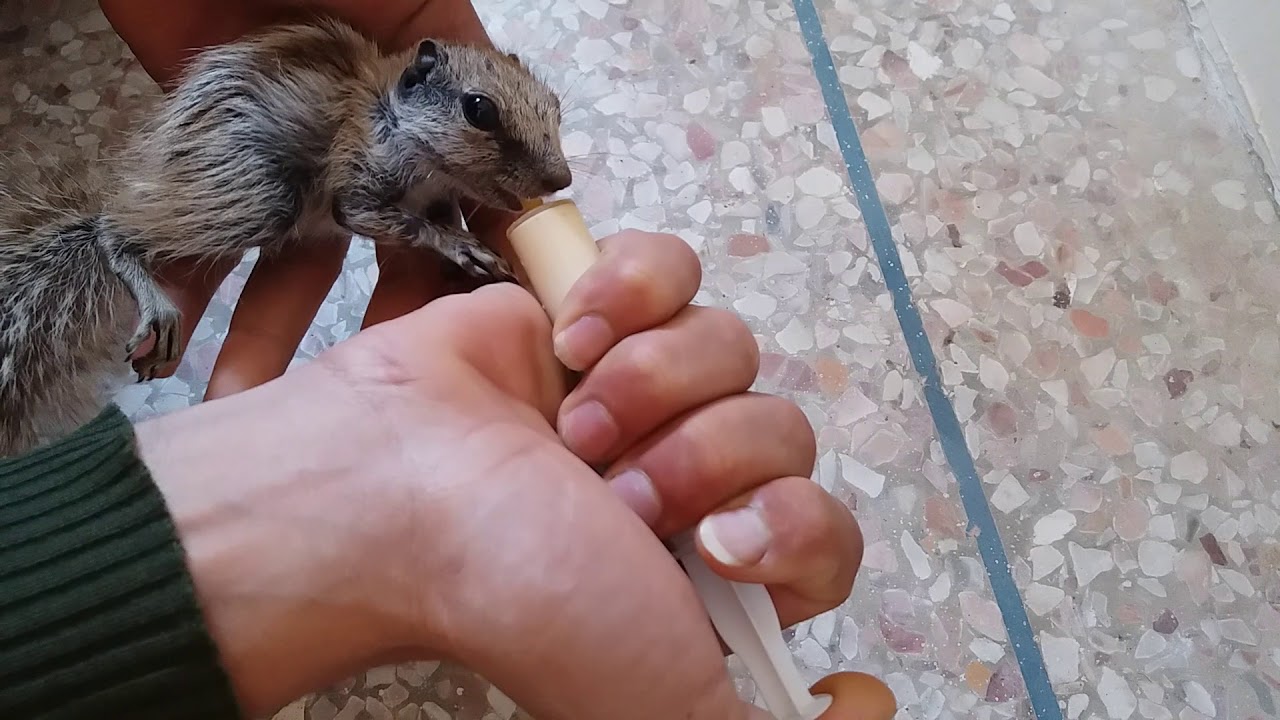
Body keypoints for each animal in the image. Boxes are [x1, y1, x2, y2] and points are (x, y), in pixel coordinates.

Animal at [0, 18, 572, 457]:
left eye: (555, 103)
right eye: (478, 109)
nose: (561, 179)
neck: (388, 116)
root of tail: (151, 175)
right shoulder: (357, 186)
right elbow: (400, 221)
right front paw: (459, 246)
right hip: (255, 198)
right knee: (114, 232)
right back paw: (155, 302)